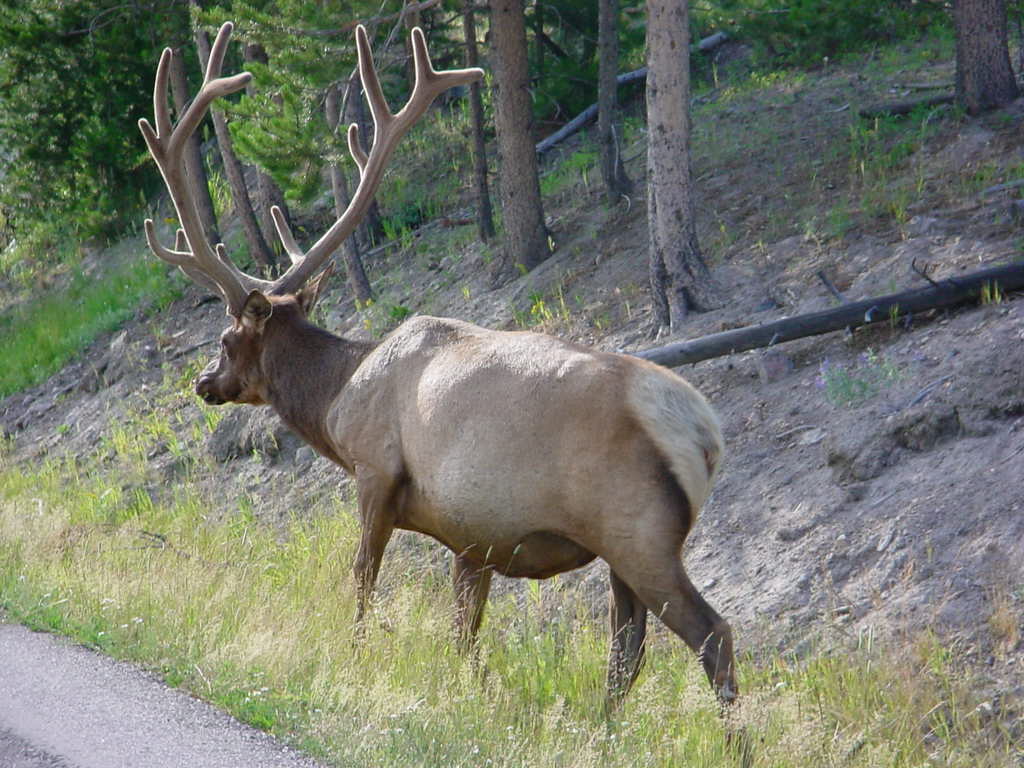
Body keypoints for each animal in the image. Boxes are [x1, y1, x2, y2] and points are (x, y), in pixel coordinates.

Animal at [139, 21, 737, 710]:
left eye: (224, 338)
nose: (203, 383)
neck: (336, 400)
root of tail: (704, 434)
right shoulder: (471, 535)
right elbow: (464, 635)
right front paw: (467, 693)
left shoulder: (375, 469)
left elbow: (362, 580)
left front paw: (353, 660)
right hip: (626, 551)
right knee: (626, 650)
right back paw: (601, 723)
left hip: (637, 532)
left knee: (711, 635)